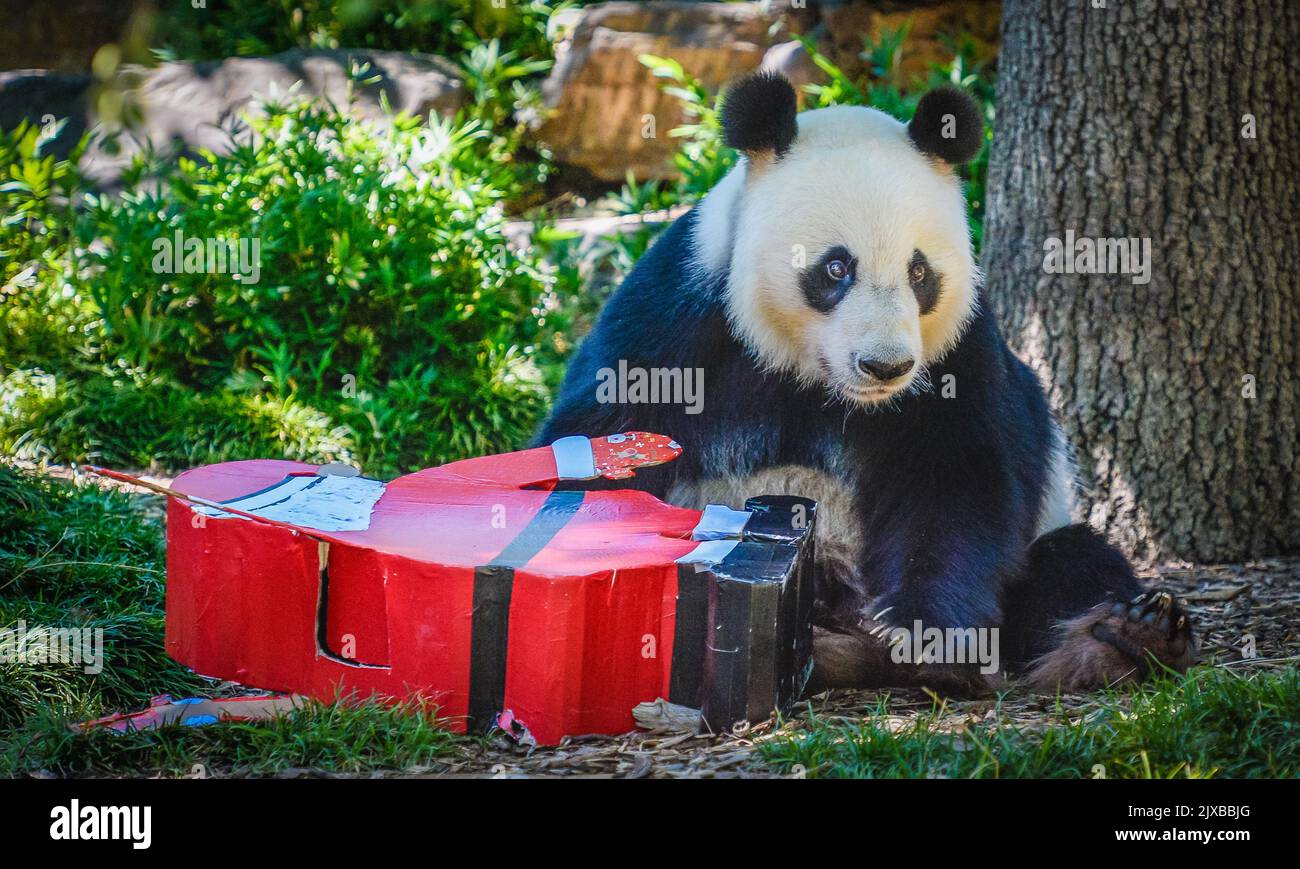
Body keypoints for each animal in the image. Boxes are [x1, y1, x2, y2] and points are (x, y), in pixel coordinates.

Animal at [539, 72, 1193, 694]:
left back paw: (1126, 637)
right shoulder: (678, 318)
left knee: (1075, 562)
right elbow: (600, 432)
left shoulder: (957, 351)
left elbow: (958, 479)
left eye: (920, 272)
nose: (886, 366)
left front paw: (931, 639)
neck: (816, 379)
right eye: (836, 267)